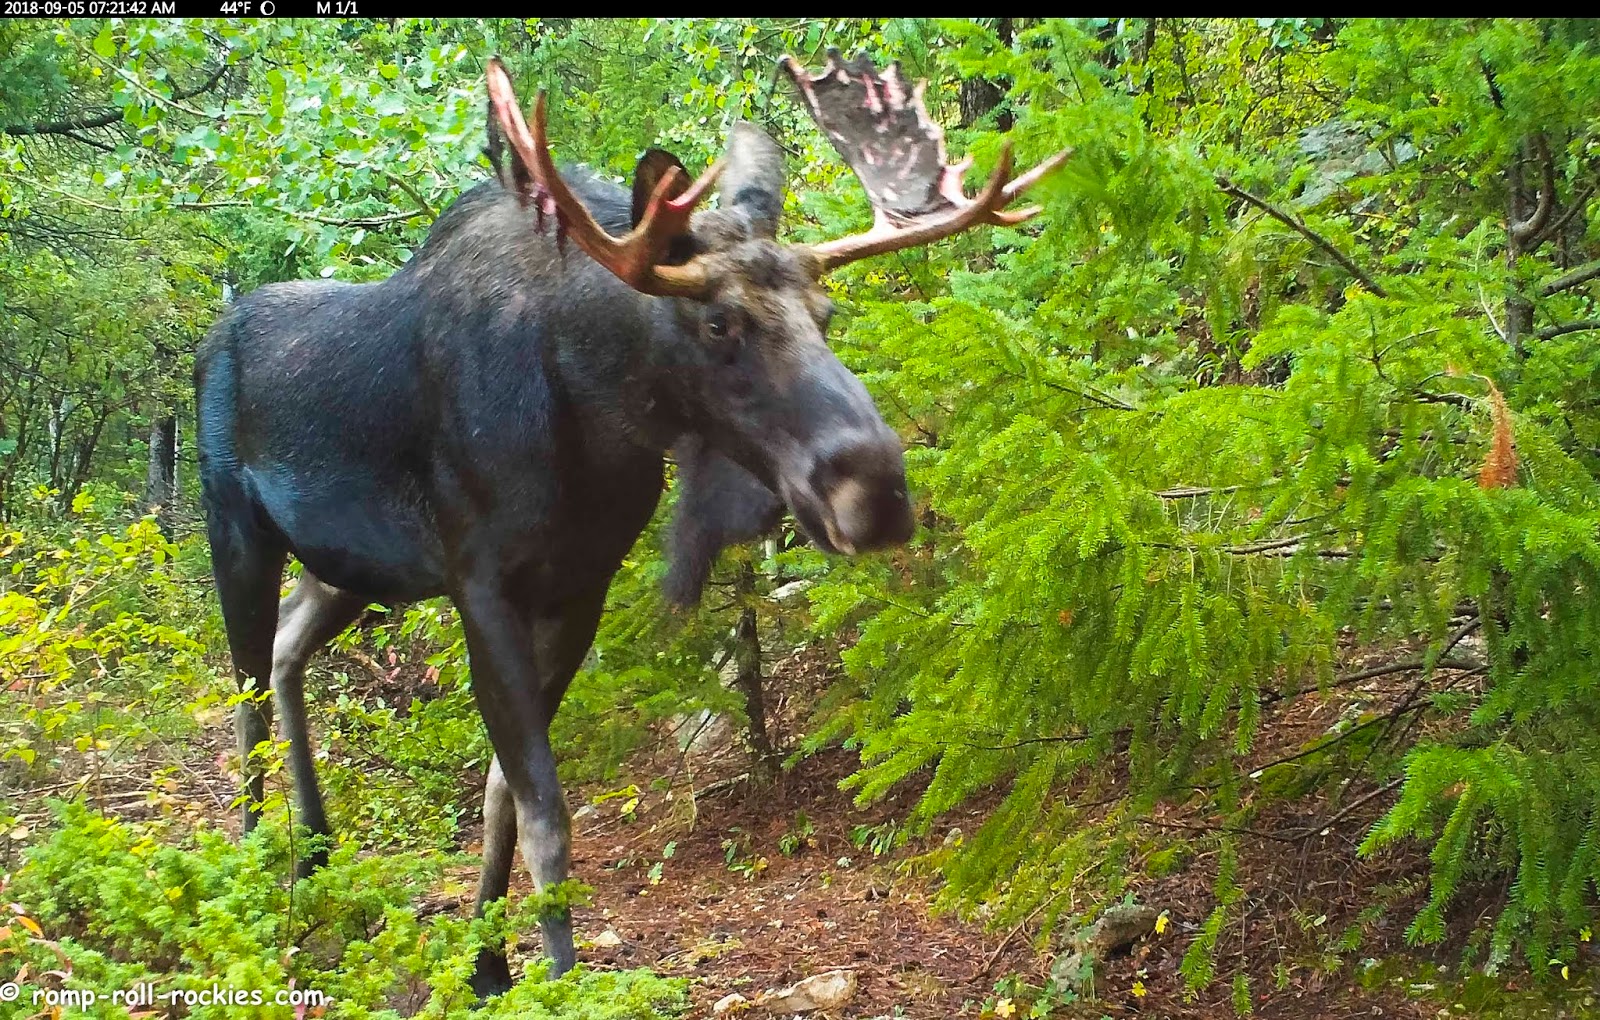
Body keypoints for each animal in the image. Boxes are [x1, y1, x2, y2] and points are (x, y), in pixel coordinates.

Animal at [193, 50, 1069, 996]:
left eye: (827, 315)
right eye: (717, 321)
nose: (876, 491)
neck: (595, 416)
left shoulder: (580, 585)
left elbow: (503, 791)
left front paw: (490, 959)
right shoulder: (480, 583)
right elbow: (544, 808)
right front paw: (553, 974)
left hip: (348, 566)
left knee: (286, 649)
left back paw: (314, 851)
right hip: (235, 529)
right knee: (243, 692)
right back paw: (257, 870)